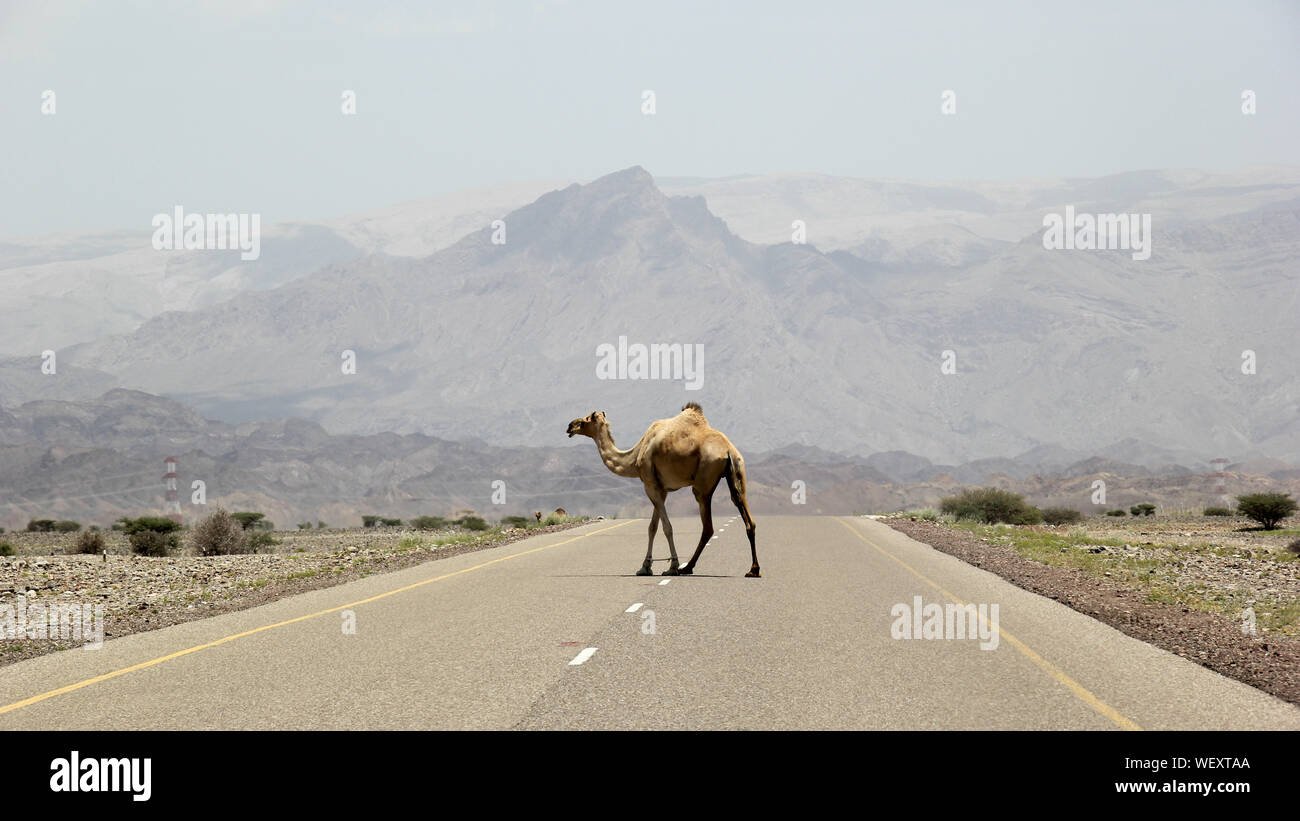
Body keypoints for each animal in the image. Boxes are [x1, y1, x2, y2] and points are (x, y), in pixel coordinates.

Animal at [566, 402, 759, 577]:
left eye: (585, 420)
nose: (569, 426)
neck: (635, 456)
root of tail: (729, 451)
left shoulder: (650, 485)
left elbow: (666, 527)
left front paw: (672, 566)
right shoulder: (662, 489)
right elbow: (653, 526)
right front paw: (645, 567)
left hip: (703, 481)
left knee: (708, 527)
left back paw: (686, 568)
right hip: (738, 473)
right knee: (746, 514)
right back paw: (753, 570)